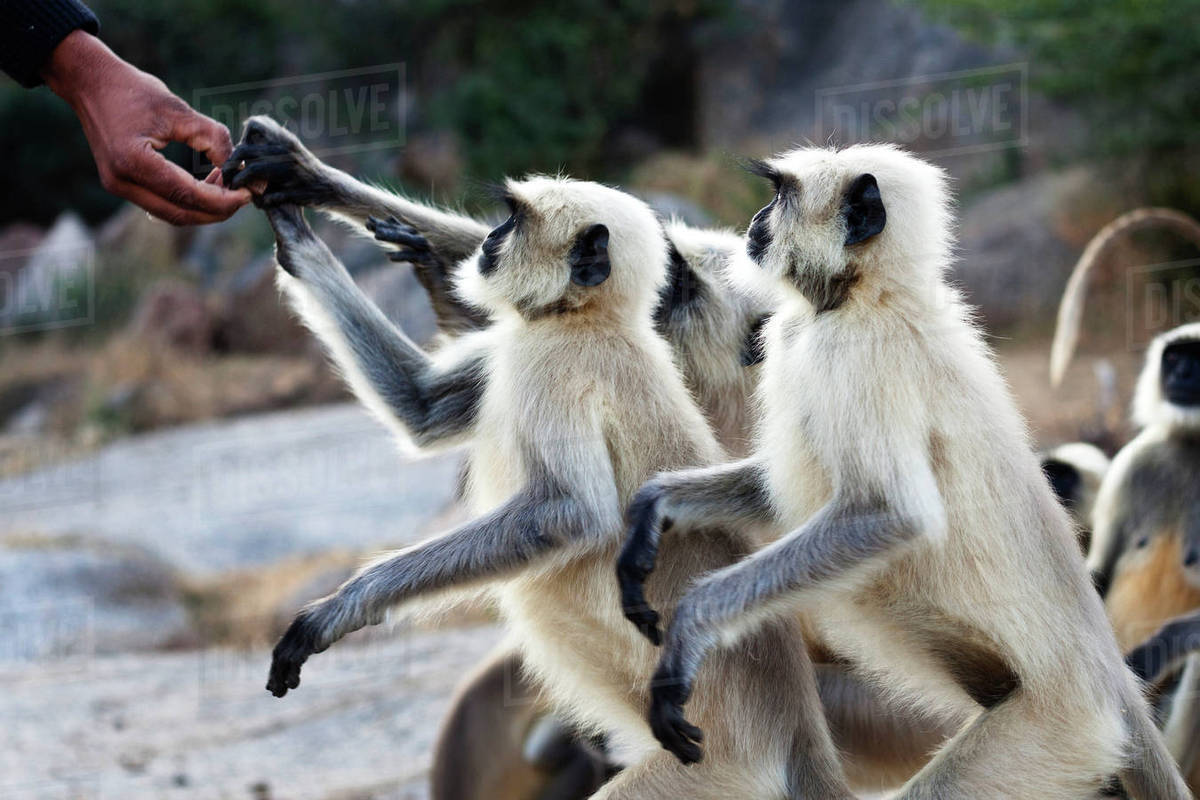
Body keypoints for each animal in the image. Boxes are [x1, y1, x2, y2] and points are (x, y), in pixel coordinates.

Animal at [225, 122, 857, 800]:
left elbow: (569, 516)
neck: (593, 325)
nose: (490, 242)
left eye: (682, 290)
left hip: (718, 769)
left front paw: (344, 607)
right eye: (669, 275)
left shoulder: (550, 360)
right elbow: (421, 405)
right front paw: (296, 196)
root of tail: (798, 733)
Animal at [616, 143, 1190, 800]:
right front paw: (653, 507)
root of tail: (1112, 676)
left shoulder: (860, 352)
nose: (757, 221)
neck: (866, 294)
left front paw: (693, 621)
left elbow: (890, 515)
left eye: (780, 196)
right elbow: (776, 490)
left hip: (1063, 726)